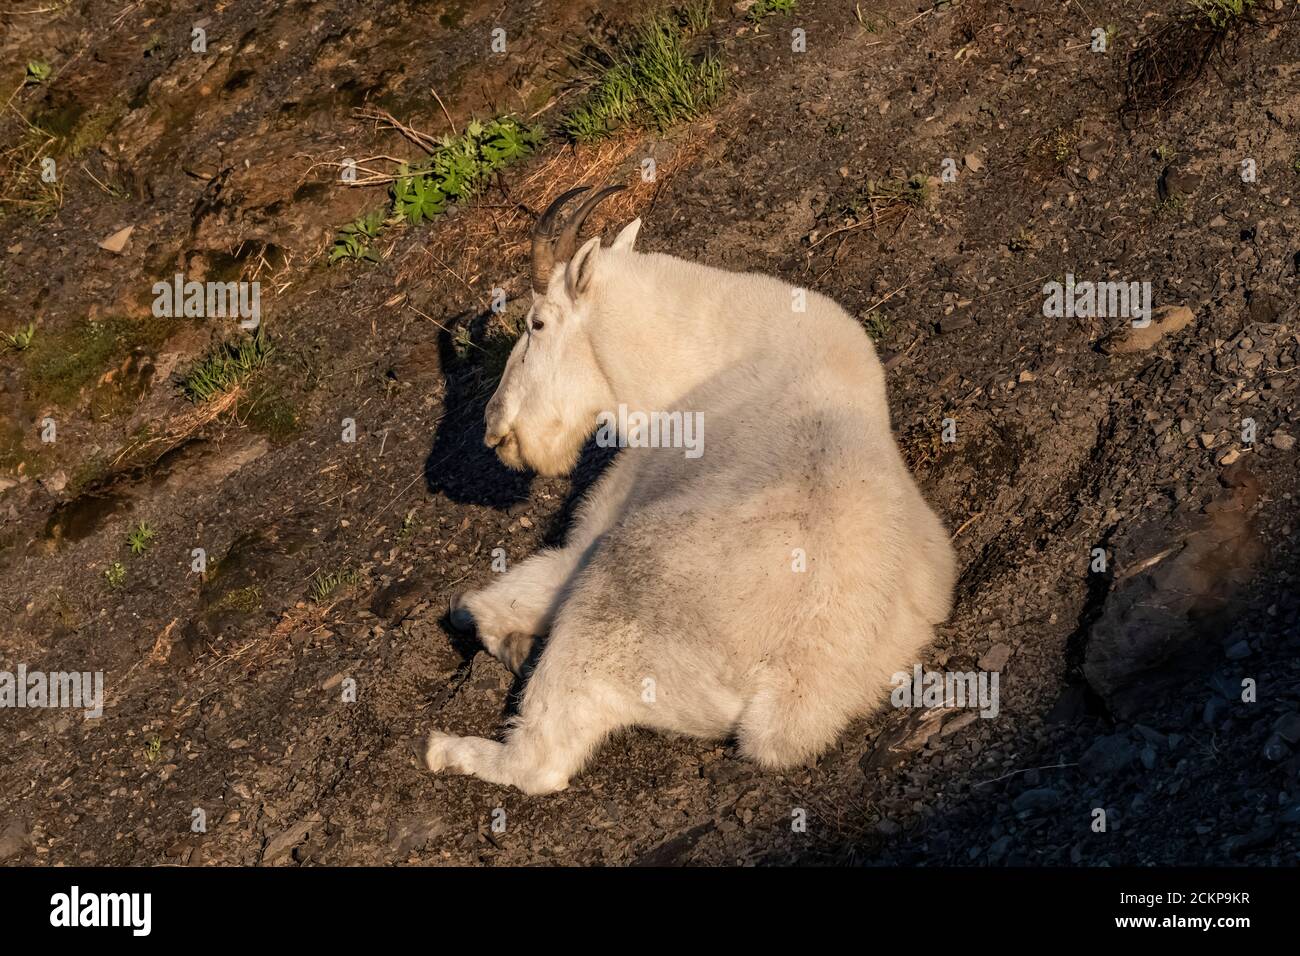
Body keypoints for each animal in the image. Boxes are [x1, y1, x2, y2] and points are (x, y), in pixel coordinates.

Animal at [425, 185, 957, 794]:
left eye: (536, 324)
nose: (494, 428)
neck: (703, 356)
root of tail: (794, 689)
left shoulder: (599, 527)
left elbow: (479, 605)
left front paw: (504, 633)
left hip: (611, 595)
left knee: (541, 762)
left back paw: (450, 746)